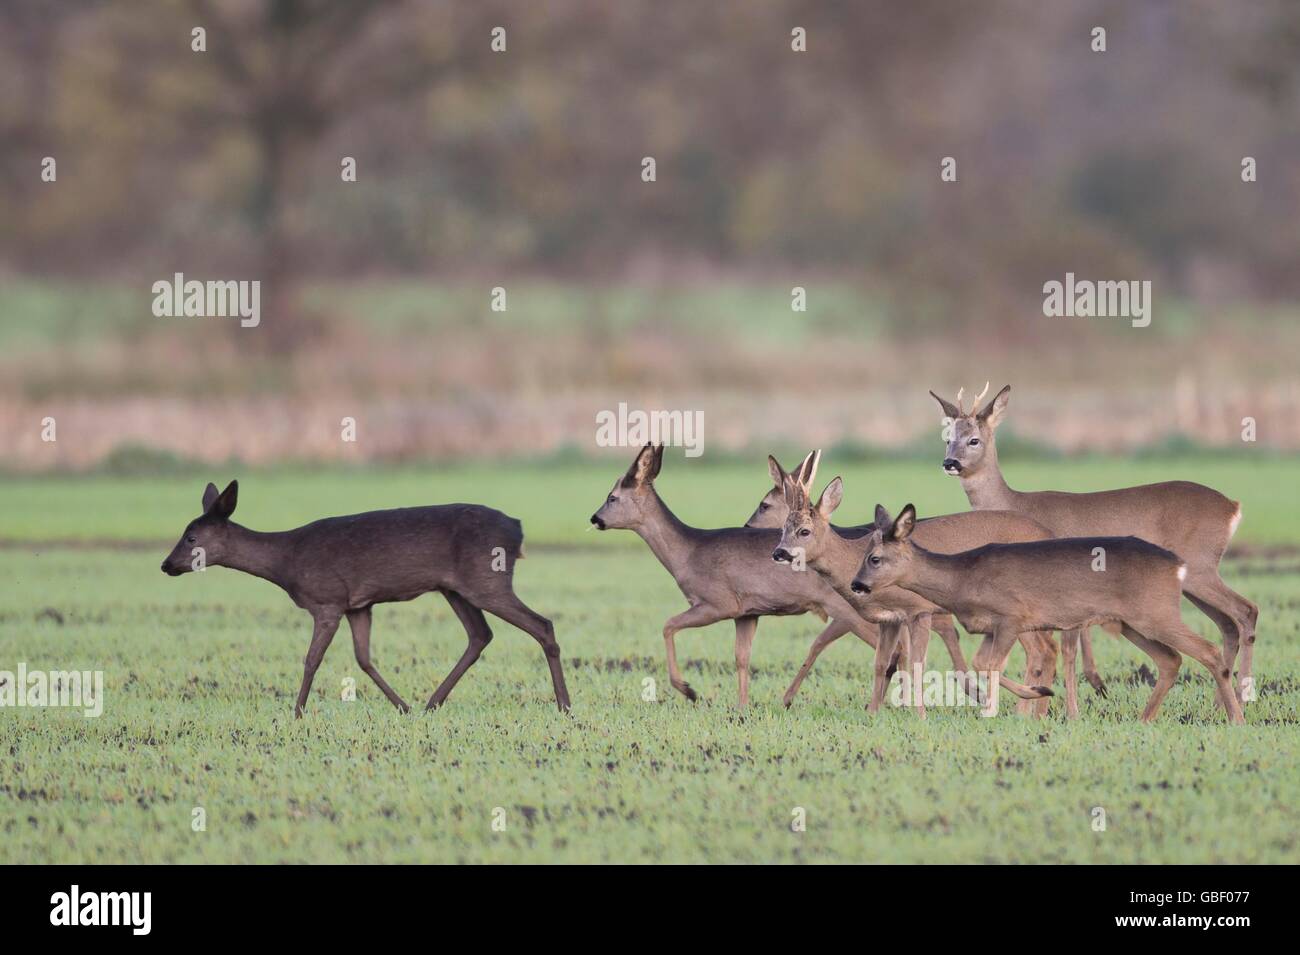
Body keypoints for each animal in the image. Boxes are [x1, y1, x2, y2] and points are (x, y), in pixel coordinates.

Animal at [160, 480, 570, 717]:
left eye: (192, 538)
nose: (166, 565)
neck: (285, 563)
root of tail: (517, 529)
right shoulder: (358, 604)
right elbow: (363, 657)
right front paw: (402, 705)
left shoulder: (326, 600)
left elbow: (311, 660)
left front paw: (297, 712)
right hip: (455, 587)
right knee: (480, 635)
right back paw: (431, 703)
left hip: (487, 578)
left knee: (542, 625)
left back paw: (565, 705)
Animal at [589, 443, 889, 708]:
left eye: (612, 497)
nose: (594, 518)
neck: (687, 552)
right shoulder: (747, 612)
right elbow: (742, 658)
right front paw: (742, 707)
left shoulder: (718, 602)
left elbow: (668, 625)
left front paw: (688, 690)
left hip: (848, 608)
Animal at [747, 452, 1106, 712]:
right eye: (784, 528)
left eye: (804, 531)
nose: (778, 552)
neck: (854, 556)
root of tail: (1048, 533)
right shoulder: (889, 619)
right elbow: (881, 663)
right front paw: (873, 713)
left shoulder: (918, 610)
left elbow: (916, 664)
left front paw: (917, 714)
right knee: (1049, 648)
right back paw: (1037, 707)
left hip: (1016, 606)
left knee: (1042, 651)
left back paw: (1025, 709)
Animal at [851, 504, 1246, 724]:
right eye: (864, 555)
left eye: (874, 559)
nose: (856, 584)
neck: (963, 577)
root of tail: (1177, 565)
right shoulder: (990, 627)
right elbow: (981, 663)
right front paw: (1035, 694)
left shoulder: (1012, 616)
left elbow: (991, 665)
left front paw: (998, 708)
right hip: (1132, 623)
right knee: (1170, 659)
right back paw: (1145, 719)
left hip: (1156, 614)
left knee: (1208, 651)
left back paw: (1236, 718)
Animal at [931, 383, 1257, 712]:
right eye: (948, 438)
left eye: (974, 439)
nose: (950, 463)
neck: (1014, 504)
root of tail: (1232, 507)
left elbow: (1066, 647)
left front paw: (1065, 707)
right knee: (1227, 623)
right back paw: (1220, 703)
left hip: (1199, 567)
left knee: (1246, 611)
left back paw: (1243, 696)